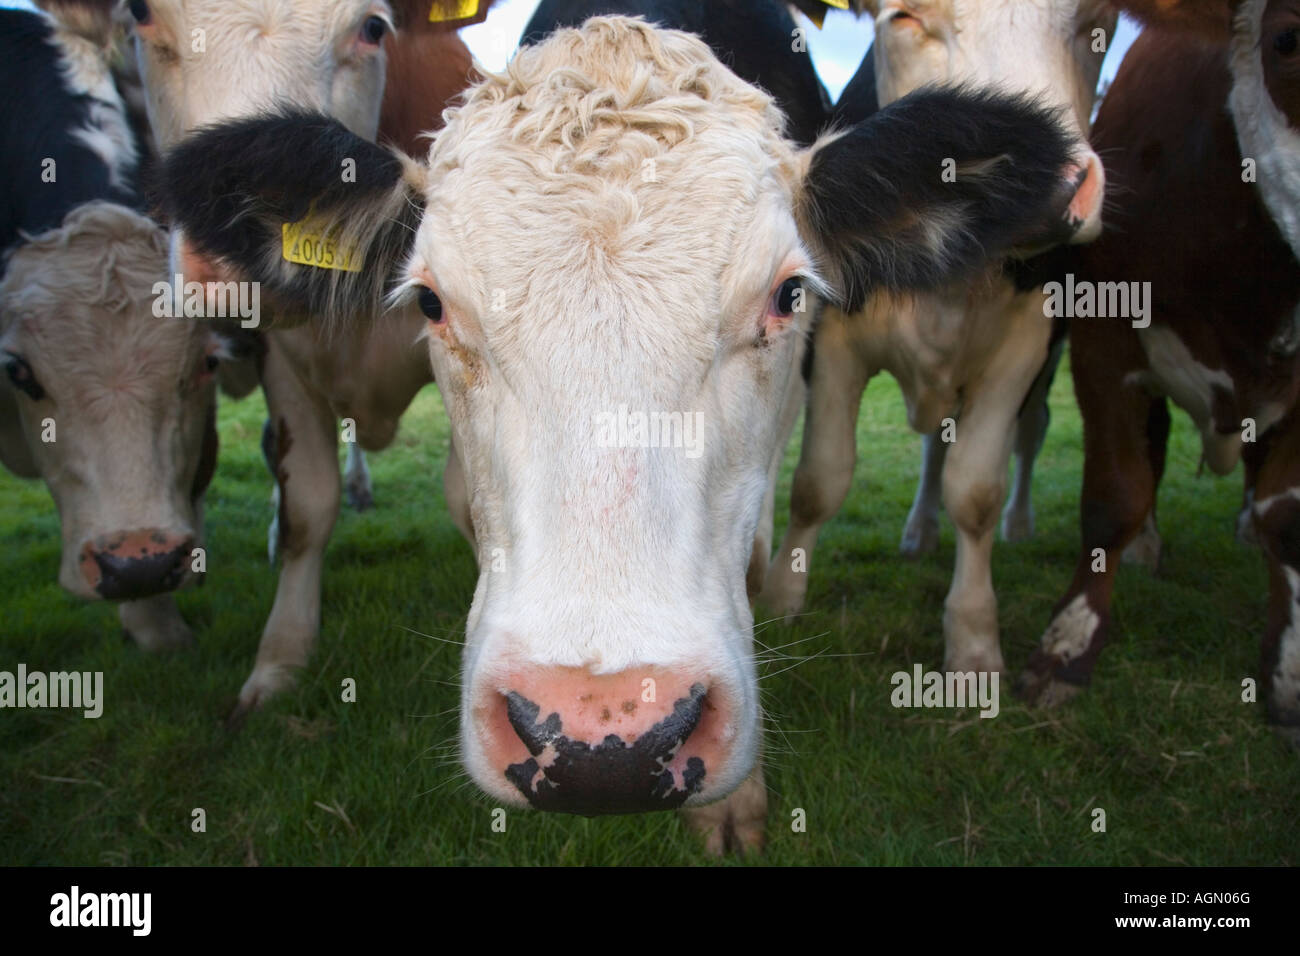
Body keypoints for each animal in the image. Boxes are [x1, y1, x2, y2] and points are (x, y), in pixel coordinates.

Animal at [124, 0, 493, 722]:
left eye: (372, 27)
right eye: (142, 15)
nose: (235, 253)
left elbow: (469, 500)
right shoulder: (281, 359)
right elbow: (306, 508)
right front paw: (279, 662)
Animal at [761, 0, 1113, 683]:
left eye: (1097, 25)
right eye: (905, 17)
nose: (1052, 186)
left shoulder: (1024, 349)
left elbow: (975, 491)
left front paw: (974, 640)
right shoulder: (835, 342)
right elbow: (820, 480)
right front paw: (781, 603)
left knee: (1029, 433)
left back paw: (1018, 525)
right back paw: (919, 533)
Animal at [1018, 0, 1300, 740]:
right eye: (1288, 40)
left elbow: (1286, 514)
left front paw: (1290, 670)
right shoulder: (1105, 344)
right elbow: (1114, 497)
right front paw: (1069, 645)